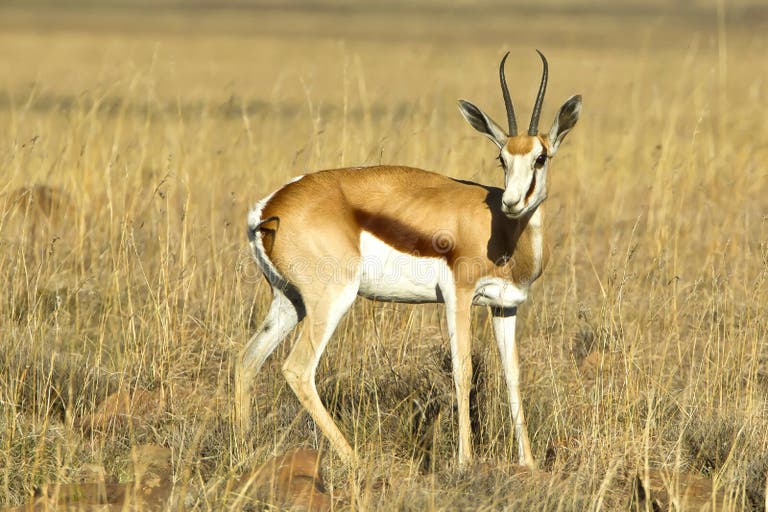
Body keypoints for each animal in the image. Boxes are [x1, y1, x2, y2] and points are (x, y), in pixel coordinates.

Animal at [236, 51, 581, 468]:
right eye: (501, 158)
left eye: (540, 157)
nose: (512, 203)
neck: (502, 232)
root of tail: (269, 206)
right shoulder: (458, 296)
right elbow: (463, 371)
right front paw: (465, 461)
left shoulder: (505, 306)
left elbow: (512, 373)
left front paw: (527, 462)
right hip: (331, 299)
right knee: (297, 369)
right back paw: (354, 458)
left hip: (289, 301)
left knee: (247, 360)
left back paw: (243, 448)